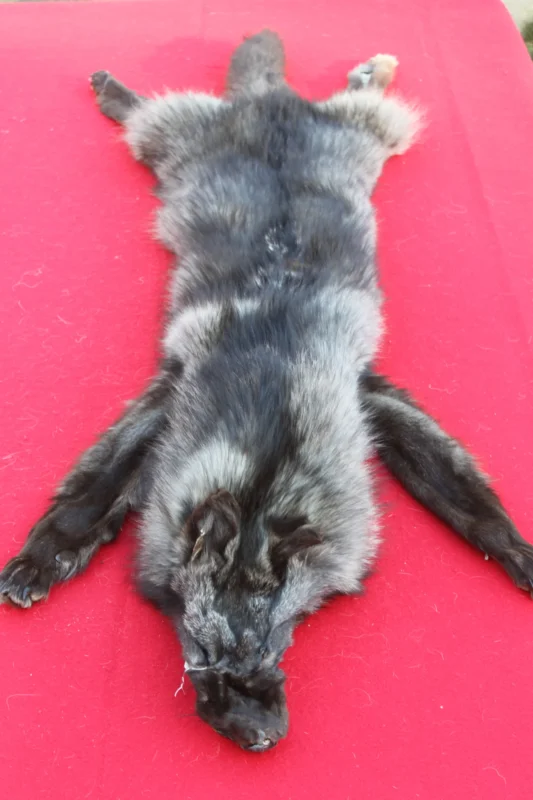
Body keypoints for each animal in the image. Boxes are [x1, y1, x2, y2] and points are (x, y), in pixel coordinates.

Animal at [1, 31, 531, 752]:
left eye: (275, 639)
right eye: (198, 653)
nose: (261, 740)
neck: (266, 445)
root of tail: (269, 102)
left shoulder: (369, 394)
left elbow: (467, 498)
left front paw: (516, 553)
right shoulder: (169, 393)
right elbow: (88, 496)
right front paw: (39, 561)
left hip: (364, 133)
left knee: (350, 94)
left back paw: (372, 68)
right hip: (176, 141)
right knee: (148, 111)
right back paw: (113, 87)